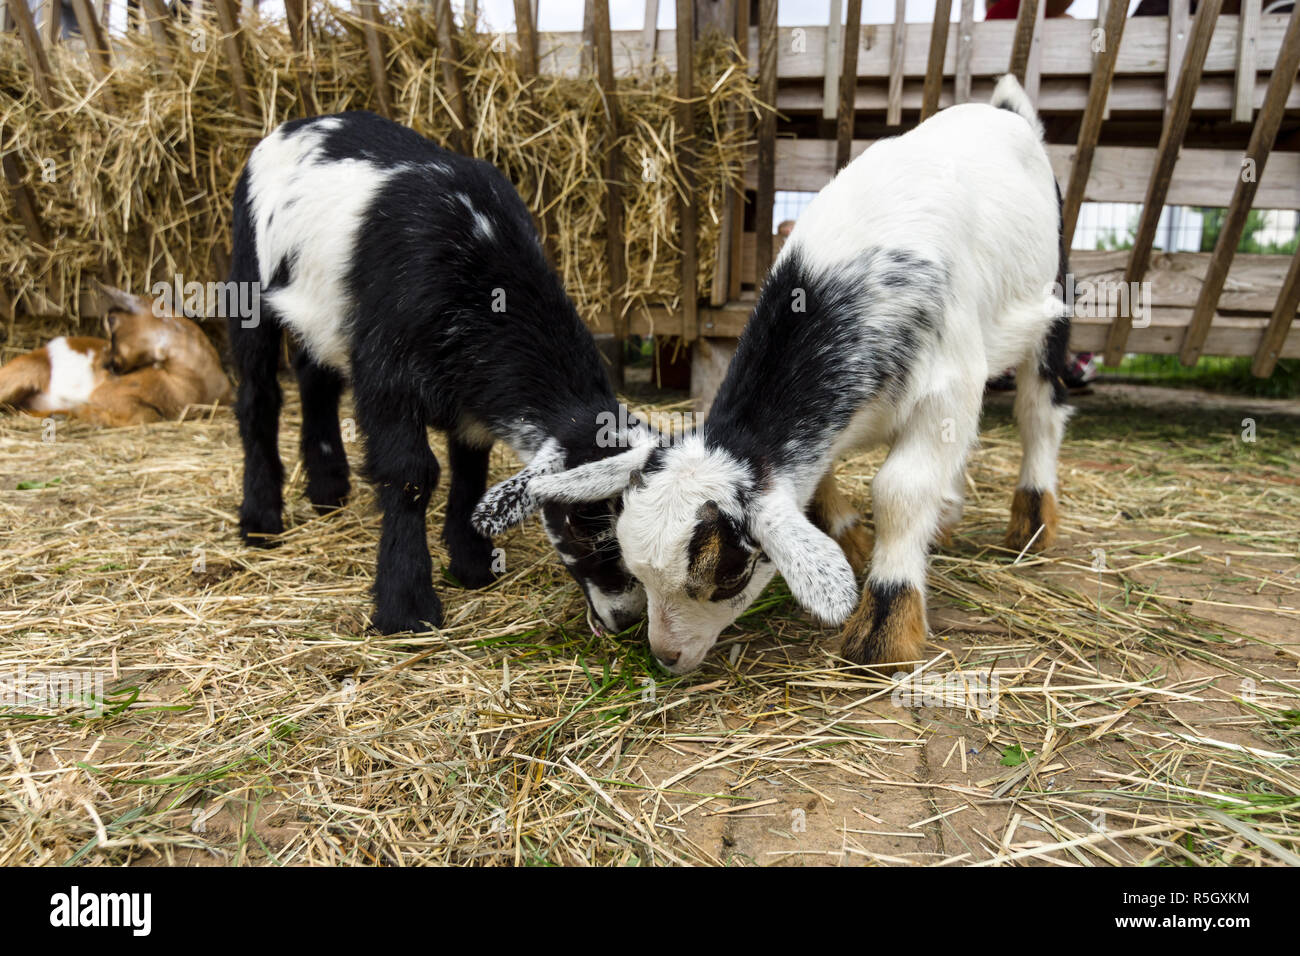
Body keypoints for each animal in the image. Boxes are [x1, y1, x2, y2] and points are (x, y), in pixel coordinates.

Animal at [227, 111, 647, 636]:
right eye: (575, 521)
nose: (625, 617)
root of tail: (303, 121)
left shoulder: (470, 389)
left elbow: (471, 466)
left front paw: (471, 562)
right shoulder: (386, 375)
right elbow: (411, 474)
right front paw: (406, 605)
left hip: (323, 314)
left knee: (313, 375)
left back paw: (327, 487)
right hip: (248, 276)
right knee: (257, 394)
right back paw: (261, 518)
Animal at [474, 76, 1071, 673]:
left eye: (730, 575)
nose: (665, 655)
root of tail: (1003, 110)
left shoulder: (946, 384)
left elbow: (900, 491)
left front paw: (884, 627)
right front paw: (852, 539)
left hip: (1051, 307)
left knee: (1039, 411)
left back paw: (1032, 523)